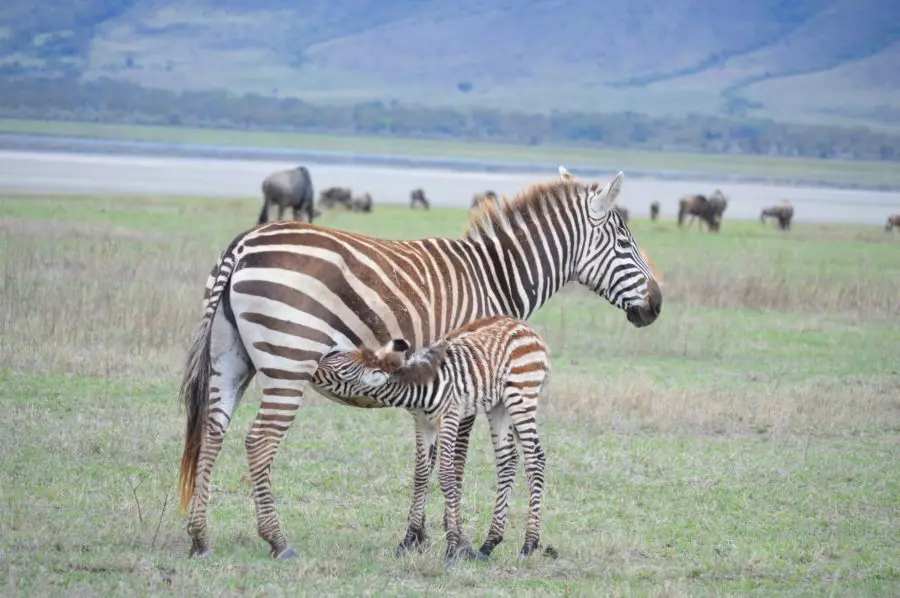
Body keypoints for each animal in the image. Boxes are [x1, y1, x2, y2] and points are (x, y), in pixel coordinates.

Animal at [316, 316, 556, 564]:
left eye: (340, 373)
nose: (313, 368)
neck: (419, 386)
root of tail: (524, 327)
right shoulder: (423, 423)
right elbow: (421, 475)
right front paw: (407, 542)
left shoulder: (449, 417)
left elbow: (447, 475)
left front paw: (452, 547)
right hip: (499, 405)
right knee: (507, 461)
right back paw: (489, 544)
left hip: (521, 395)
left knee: (535, 459)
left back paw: (528, 545)